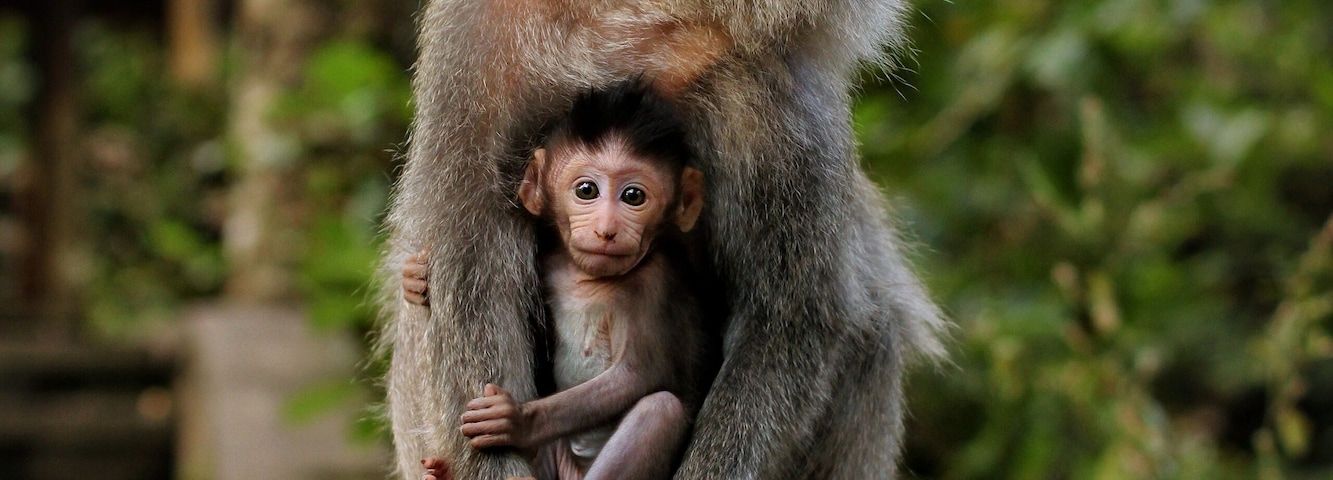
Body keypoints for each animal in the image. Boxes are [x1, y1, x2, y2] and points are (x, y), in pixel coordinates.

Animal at [415, 80, 710, 480]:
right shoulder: (550, 263)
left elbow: (639, 374)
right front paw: (415, 280)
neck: (587, 279)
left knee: (659, 410)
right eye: (586, 191)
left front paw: (519, 422)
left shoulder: (655, 282)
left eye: (634, 196)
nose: (606, 230)